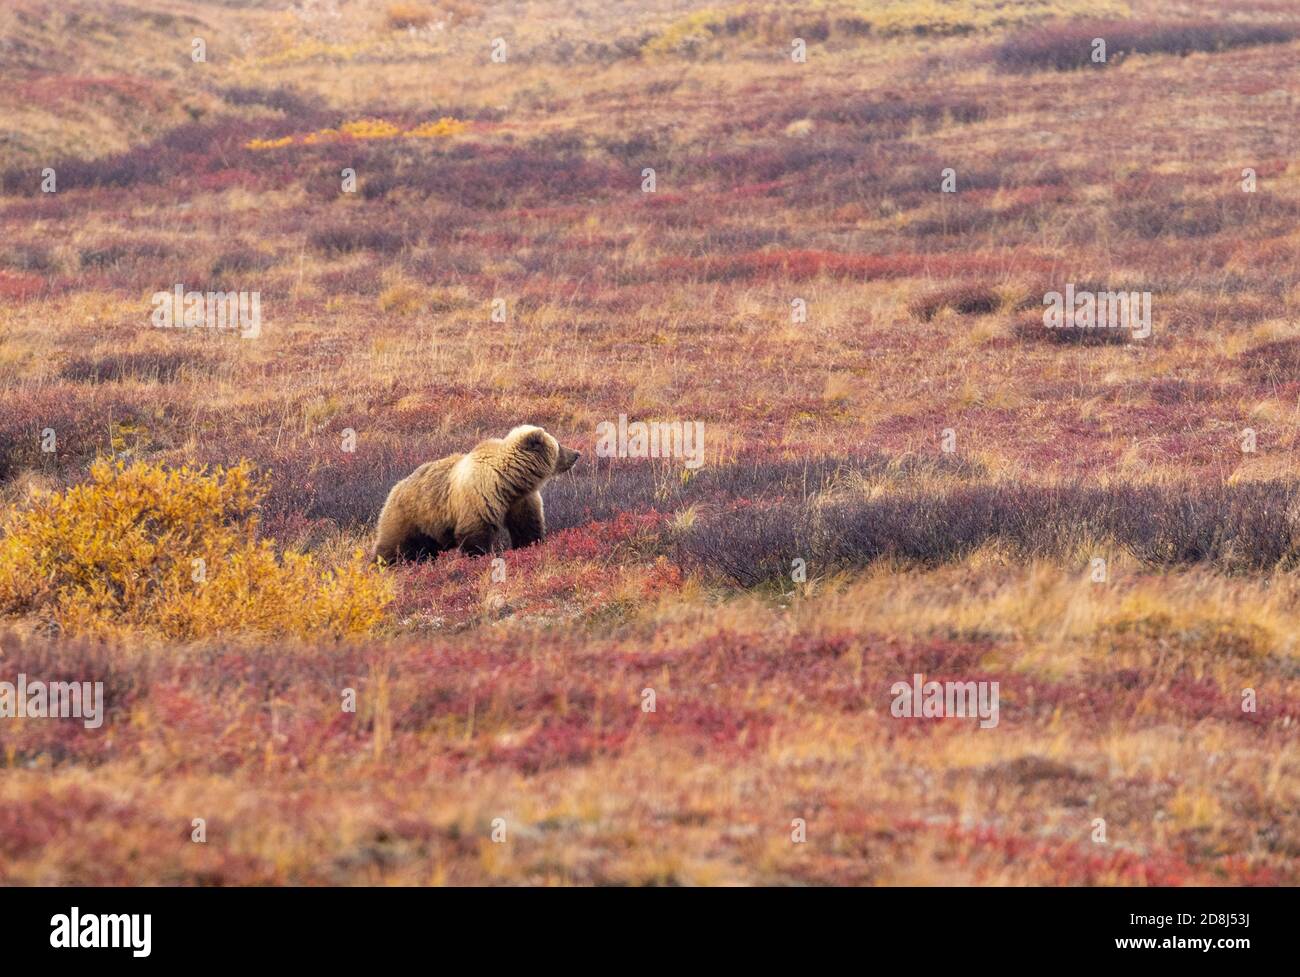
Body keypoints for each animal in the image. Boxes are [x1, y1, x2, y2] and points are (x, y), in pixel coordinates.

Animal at [371, 425, 580, 563]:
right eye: (558, 444)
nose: (577, 454)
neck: (509, 482)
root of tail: (395, 487)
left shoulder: (521, 501)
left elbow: (527, 528)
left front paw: (530, 546)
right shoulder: (479, 498)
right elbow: (475, 535)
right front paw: (478, 557)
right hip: (410, 516)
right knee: (393, 545)